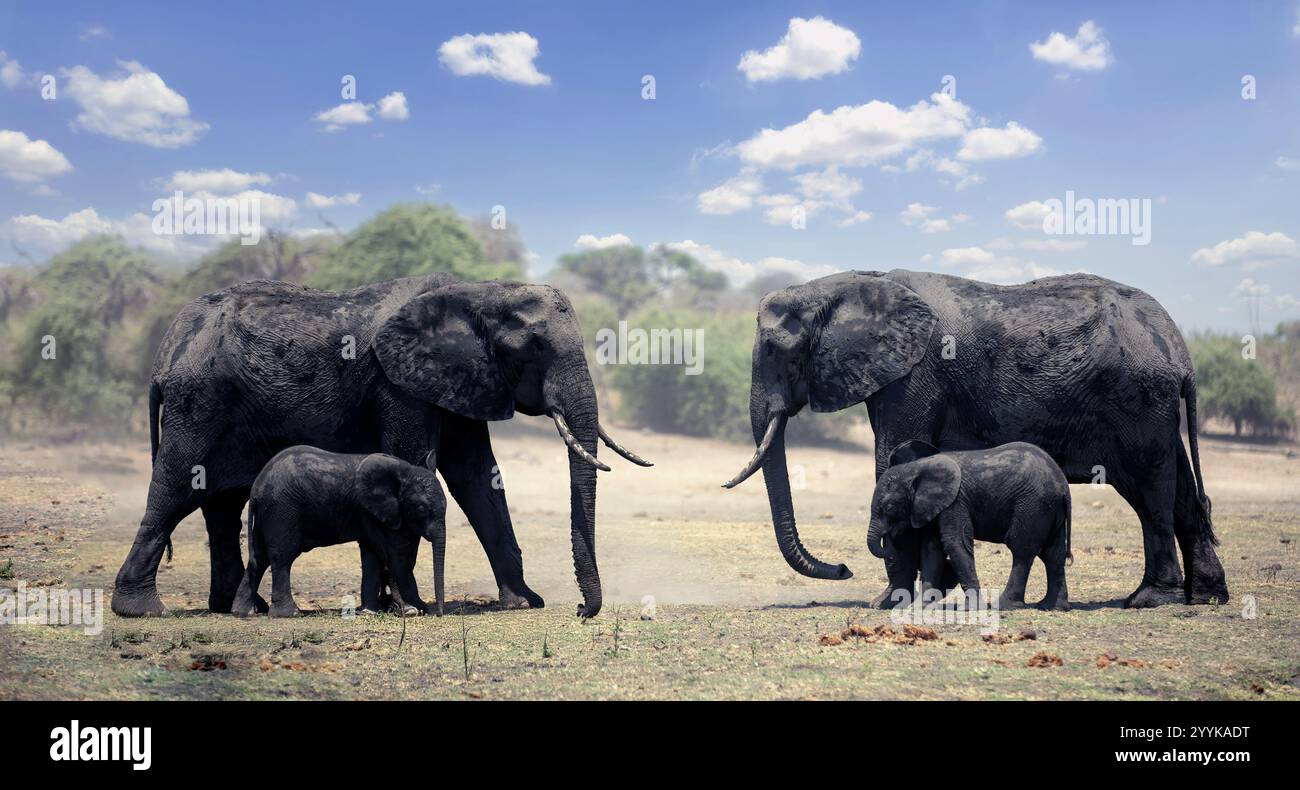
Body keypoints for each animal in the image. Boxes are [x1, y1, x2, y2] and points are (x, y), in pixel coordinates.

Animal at [231, 447, 446, 618]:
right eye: (421, 508)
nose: (439, 613)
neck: (404, 471)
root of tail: (256, 488)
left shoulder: (370, 513)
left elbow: (372, 555)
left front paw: (370, 612)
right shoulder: (371, 511)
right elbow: (396, 555)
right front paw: (416, 609)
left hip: (267, 513)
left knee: (258, 559)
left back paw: (243, 612)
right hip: (281, 511)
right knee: (282, 558)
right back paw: (289, 614)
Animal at [867, 440, 1072, 611]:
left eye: (889, 507)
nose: (890, 535)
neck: (916, 468)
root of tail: (1063, 486)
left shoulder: (956, 502)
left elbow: (955, 544)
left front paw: (972, 608)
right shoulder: (935, 506)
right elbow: (932, 550)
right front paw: (918, 607)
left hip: (1032, 505)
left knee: (1022, 550)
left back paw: (1003, 606)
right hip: (1050, 510)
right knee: (1053, 554)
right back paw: (1052, 607)